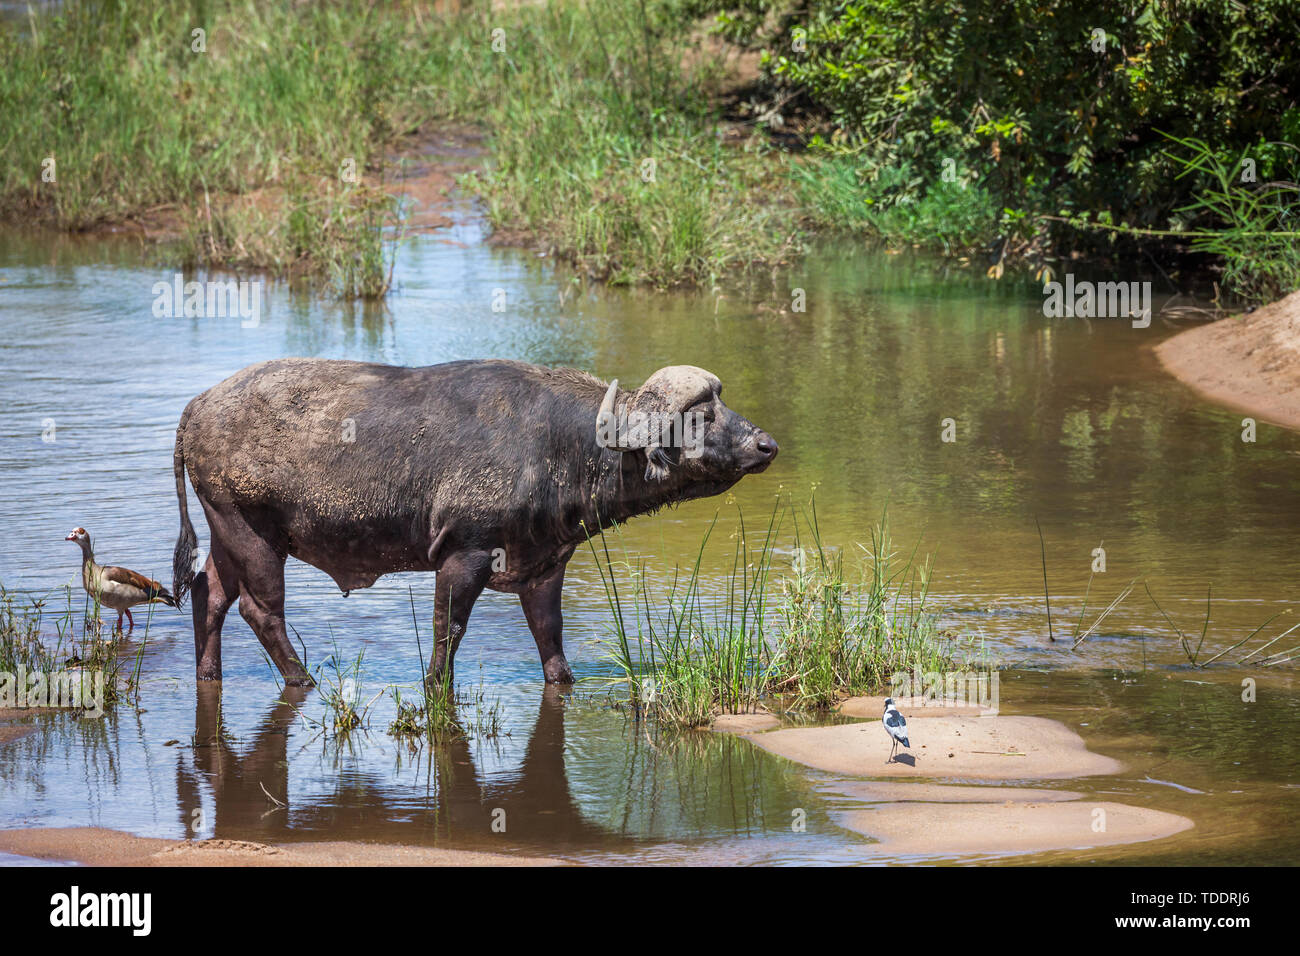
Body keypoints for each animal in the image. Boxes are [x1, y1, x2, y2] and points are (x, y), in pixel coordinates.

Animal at [171, 358, 778, 687]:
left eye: (722, 405)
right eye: (702, 414)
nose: (766, 445)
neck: (559, 444)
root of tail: (198, 406)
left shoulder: (545, 567)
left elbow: (549, 633)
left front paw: (563, 681)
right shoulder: (464, 556)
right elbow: (449, 630)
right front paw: (436, 686)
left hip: (226, 531)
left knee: (210, 592)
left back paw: (208, 674)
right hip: (251, 531)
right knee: (259, 609)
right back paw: (304, 680)